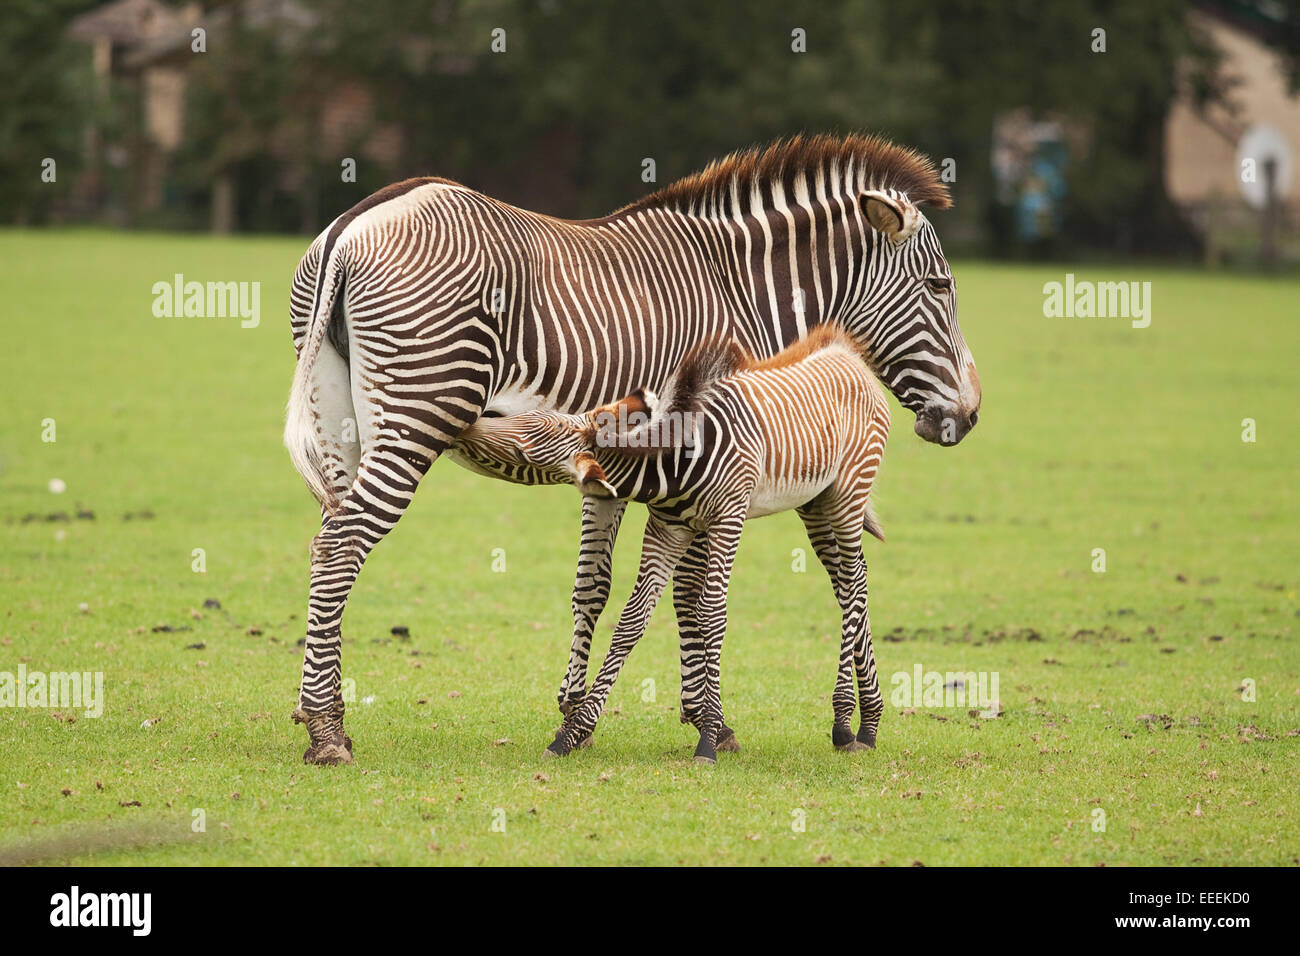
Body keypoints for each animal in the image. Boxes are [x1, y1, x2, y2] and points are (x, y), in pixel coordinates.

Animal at [455, 325, 892, 762]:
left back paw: (847, 722)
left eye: (522, 451)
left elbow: (712, 613)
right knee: (853, 580)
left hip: (848, 492)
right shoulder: (666, 528)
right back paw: (867, 723)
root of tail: (846, 354)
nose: (466, 427)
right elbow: (632, 620)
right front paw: (572, 732)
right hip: (815, 502)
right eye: (525, 419)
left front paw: (709, 738)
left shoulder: (728, 519)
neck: (675, 462)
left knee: (853, 583)